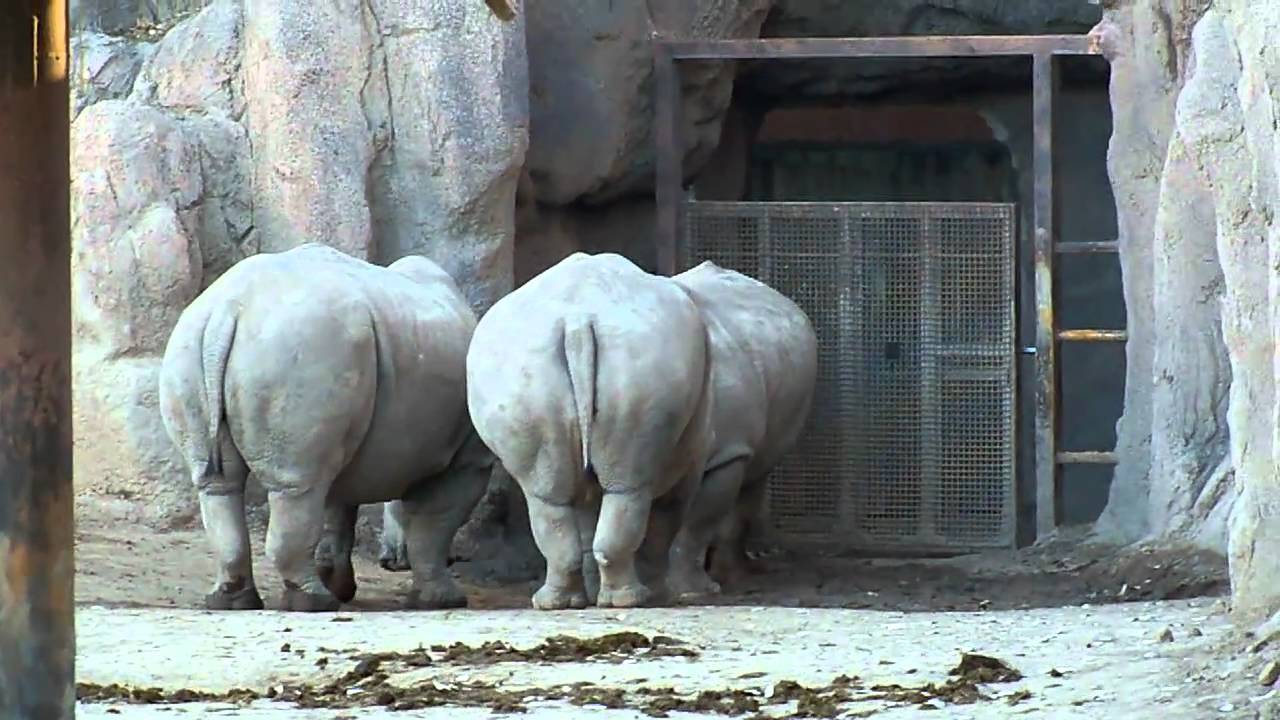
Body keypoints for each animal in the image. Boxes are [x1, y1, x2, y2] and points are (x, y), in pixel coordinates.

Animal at [158, 243, 490, 612]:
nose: (389, 561)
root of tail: (228, 310)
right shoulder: (466, 458)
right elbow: (433, 523)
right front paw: (443, 600)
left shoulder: (351, 431)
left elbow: (337, 508)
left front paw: (341, 584)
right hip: (301, 347)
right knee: (298, 485)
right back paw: (314, 603)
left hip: (194, 347)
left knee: (222, 484)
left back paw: (232, 601)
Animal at [465, 252, 714, 610]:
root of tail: (577, 320)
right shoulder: (691, 452)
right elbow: (666, 513)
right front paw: (655, 593)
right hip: (641, 359)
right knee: (630, 489)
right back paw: (633, 599)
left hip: (523, 372)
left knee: (546, 496)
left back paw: (557, 603)